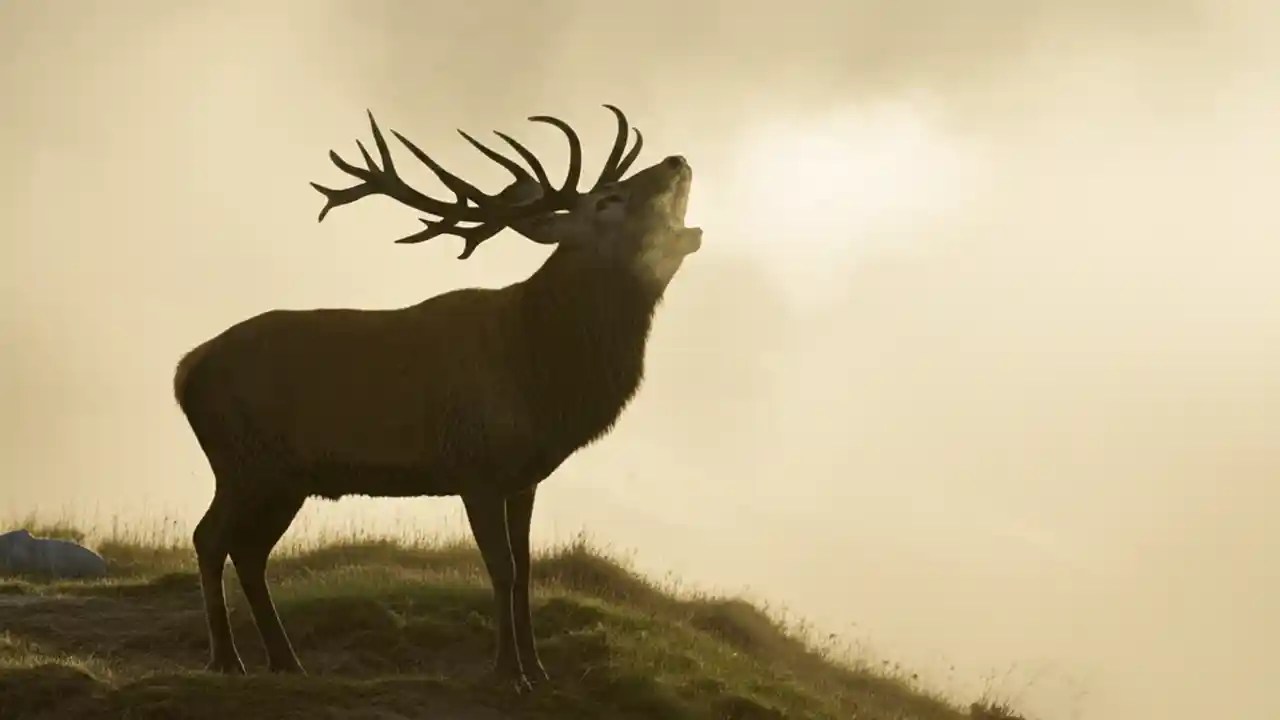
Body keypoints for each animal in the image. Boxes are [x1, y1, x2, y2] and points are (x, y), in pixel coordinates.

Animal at [173, 104, 702, 691]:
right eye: (608, 199)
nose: (677, 160)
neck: (541, 373)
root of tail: (183, 371)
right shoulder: (476, 465)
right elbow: (501, 568)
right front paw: (507, 672)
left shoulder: (524, 478)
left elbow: (525, 570)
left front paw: (539, 670)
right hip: (242, 461)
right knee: (209, 537)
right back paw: (227, 658)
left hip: (286, 478)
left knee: (249, 550)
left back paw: (286, 659)